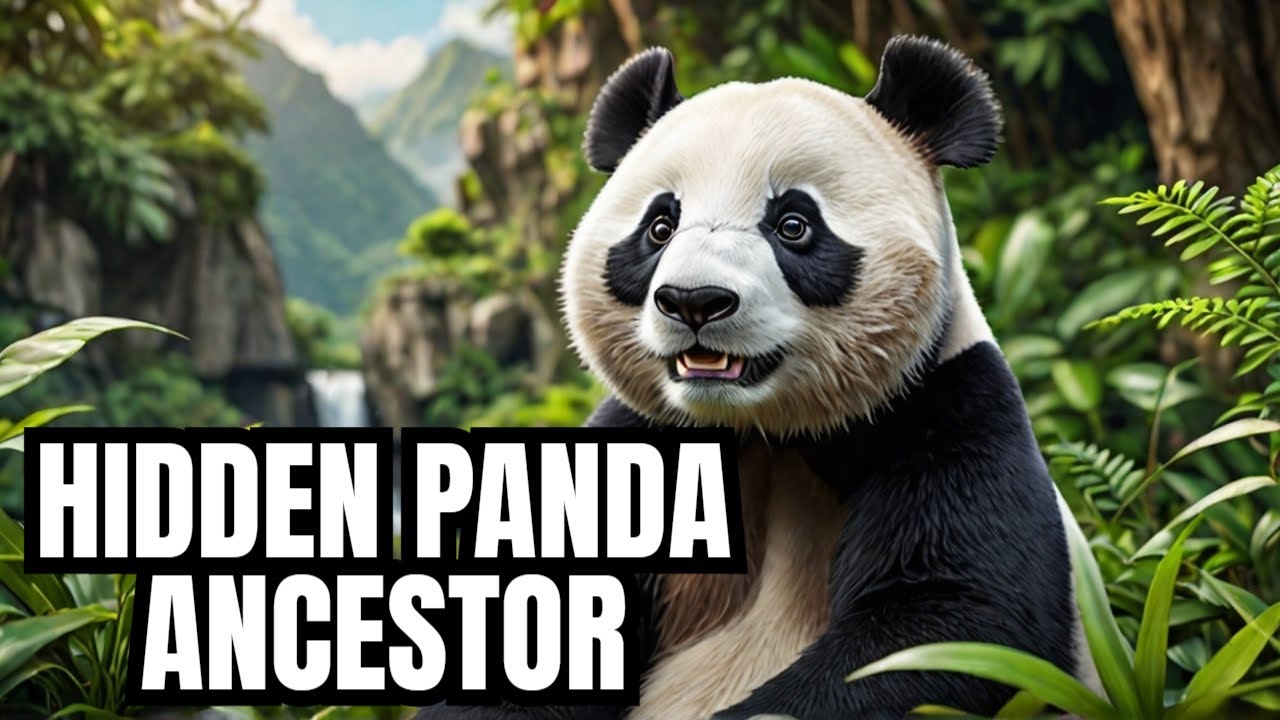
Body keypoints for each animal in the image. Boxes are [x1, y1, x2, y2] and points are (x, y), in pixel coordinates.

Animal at [422, 35, 1095, 720]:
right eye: (660, 226)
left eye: (793, 224)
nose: (694, 301)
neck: (764, 429)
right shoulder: (636, 439)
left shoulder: (947, 410)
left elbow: (947, 629)